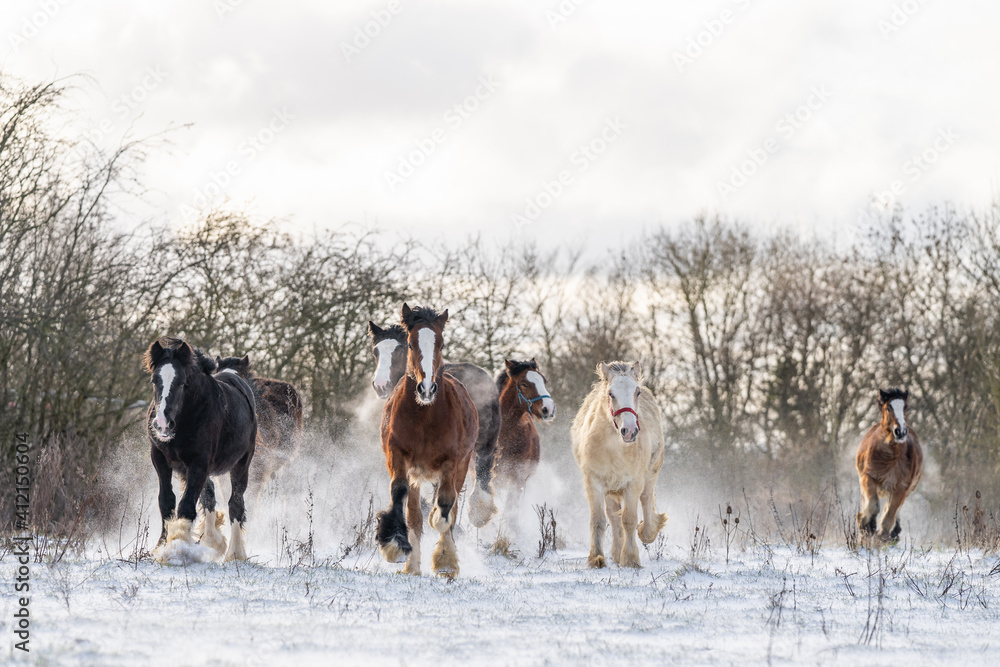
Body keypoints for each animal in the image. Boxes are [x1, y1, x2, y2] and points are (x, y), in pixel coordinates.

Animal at [143, 338, 257, 561]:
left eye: (182, 382)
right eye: (154, 380)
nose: (162, 425)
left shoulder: (199, 462)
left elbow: (186, 505)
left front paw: (177, 545)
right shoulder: (160, 459)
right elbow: (167, 501)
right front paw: (162, 544)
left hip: (241, 464)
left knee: (235, 504)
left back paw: (234, 553)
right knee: (209, 497)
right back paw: (213, 542)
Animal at [368, 320, 500, 527]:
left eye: (400, 350)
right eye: (376, 351)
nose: (381, 385)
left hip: (484, 443)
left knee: (482, 473)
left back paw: (478, 513)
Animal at [376, 304, 479, 578]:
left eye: (441, 344)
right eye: (411, 345)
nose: (426, 388)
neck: (424, 417)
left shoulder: (451, 462)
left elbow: (444, 506)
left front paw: (445, 560)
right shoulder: (398, 456)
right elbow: (399, 493)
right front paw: (394, 544)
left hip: (462, 466)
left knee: (450, 506)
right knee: (414, 515)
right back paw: (412, 565)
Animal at [571, 361, 667, 568]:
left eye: (637, 392)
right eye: (611, 393)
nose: (629, 430)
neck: (615, 447)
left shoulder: (633, 483)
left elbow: (629, 520)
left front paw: (630, 559)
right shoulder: (594, 481)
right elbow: (599, 520)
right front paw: (596, 558)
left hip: (650, 474)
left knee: (646, 500)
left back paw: (648, 531)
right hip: (611, 491)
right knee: (613, 516)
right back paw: (616, 553)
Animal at [855, 387, 923, 542]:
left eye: (906, 407)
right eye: (888, 408)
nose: (901, 432)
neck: (891, 456)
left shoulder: (901, 487)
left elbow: (889, 514)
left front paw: (881, 536)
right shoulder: (869, 477)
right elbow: (872, 506)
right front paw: (867, 526)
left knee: (894, 513)